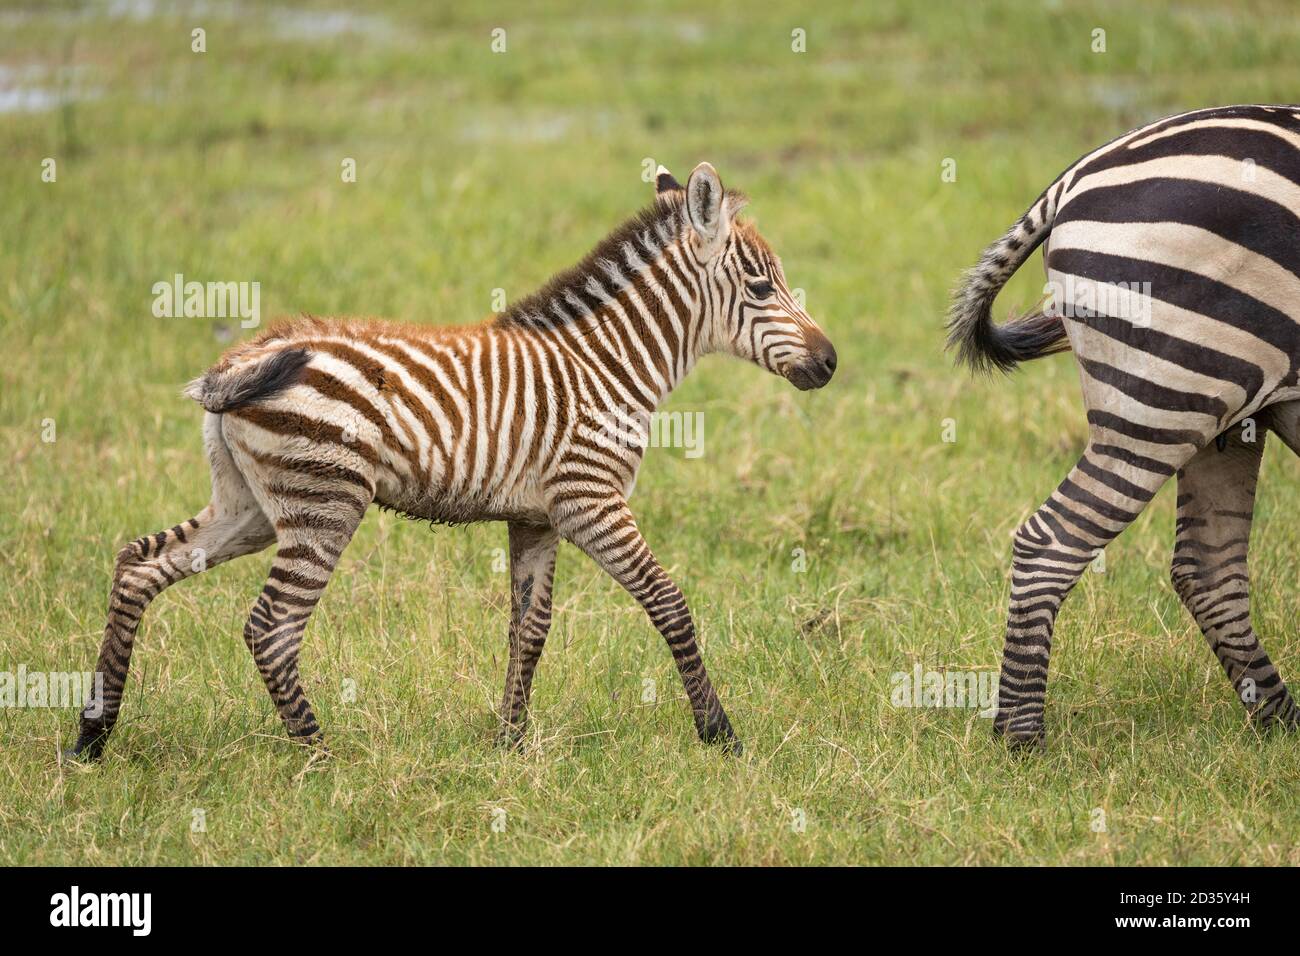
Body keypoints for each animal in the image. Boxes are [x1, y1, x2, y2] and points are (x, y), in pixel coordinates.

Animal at [66, 162, 837, 761]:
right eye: (763, 289)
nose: (830, 363)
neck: (606, 365)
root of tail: (239, 360)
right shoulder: (590, 501)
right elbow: (669, 603)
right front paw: (720, 735)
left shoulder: (537, 518)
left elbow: (529, 630)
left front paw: (511, 743)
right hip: (323, 504)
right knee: (271, 629)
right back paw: (320, 758)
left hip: (247, 504)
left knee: (138, 565)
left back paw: (92, 738)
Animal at [947, 104, 1300, 746]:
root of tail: (1072, 179)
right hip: (1166, 398)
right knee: (1052, 543)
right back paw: (1021, 739)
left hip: (1227, 409)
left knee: (1208, 568)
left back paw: (1283, 724)